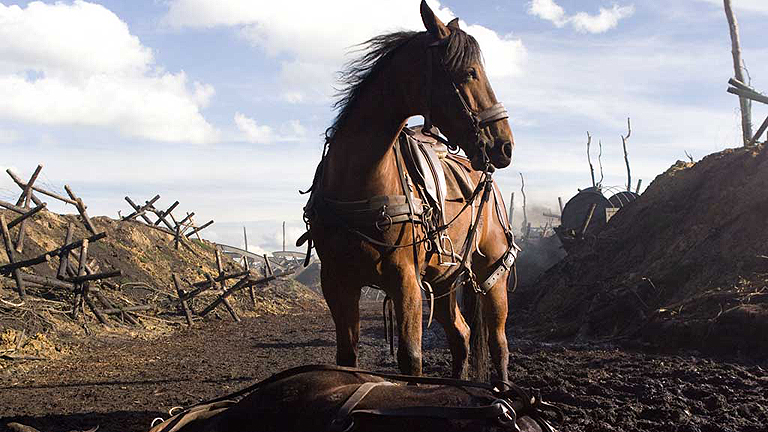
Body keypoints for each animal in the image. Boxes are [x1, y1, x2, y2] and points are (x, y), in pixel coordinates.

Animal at [299, 0, 517, 380]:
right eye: (469, 73)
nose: (504, 145)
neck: (359, 182)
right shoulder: (337, 281)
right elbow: (347, 356)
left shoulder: (406, 281)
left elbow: (410, 359)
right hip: (445, 280)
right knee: (461, 335)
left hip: (492, 274)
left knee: (498, 344)